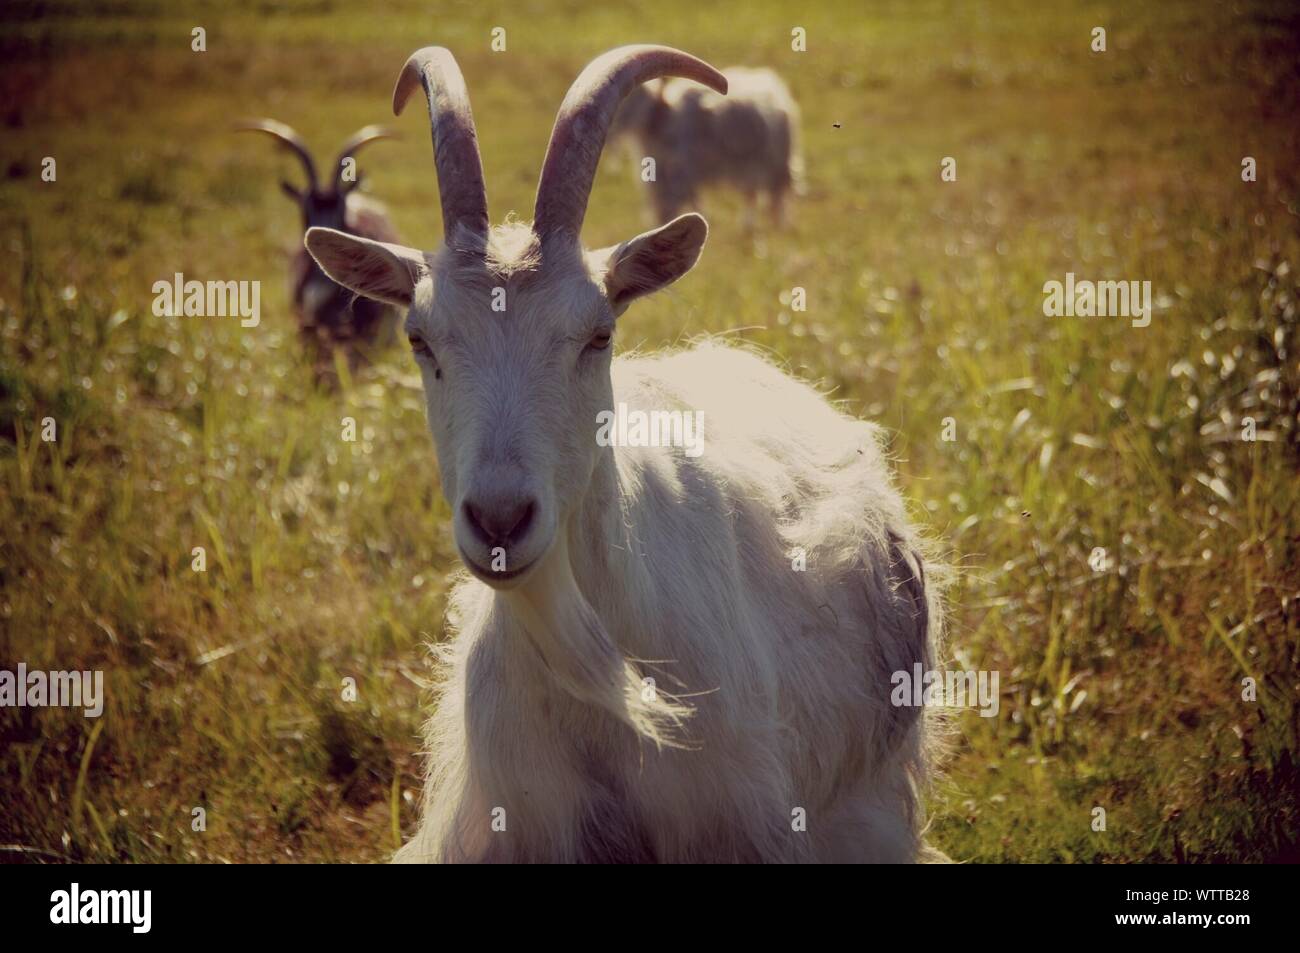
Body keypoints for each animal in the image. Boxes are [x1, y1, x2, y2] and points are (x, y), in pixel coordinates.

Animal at [611, 66, 804, 226]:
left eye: (635, 99)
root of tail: (778, 91)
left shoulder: (685, 170)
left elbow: (681, 200)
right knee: (753, 194)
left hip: (774, 163)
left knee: (775, 196)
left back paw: (775, 225)